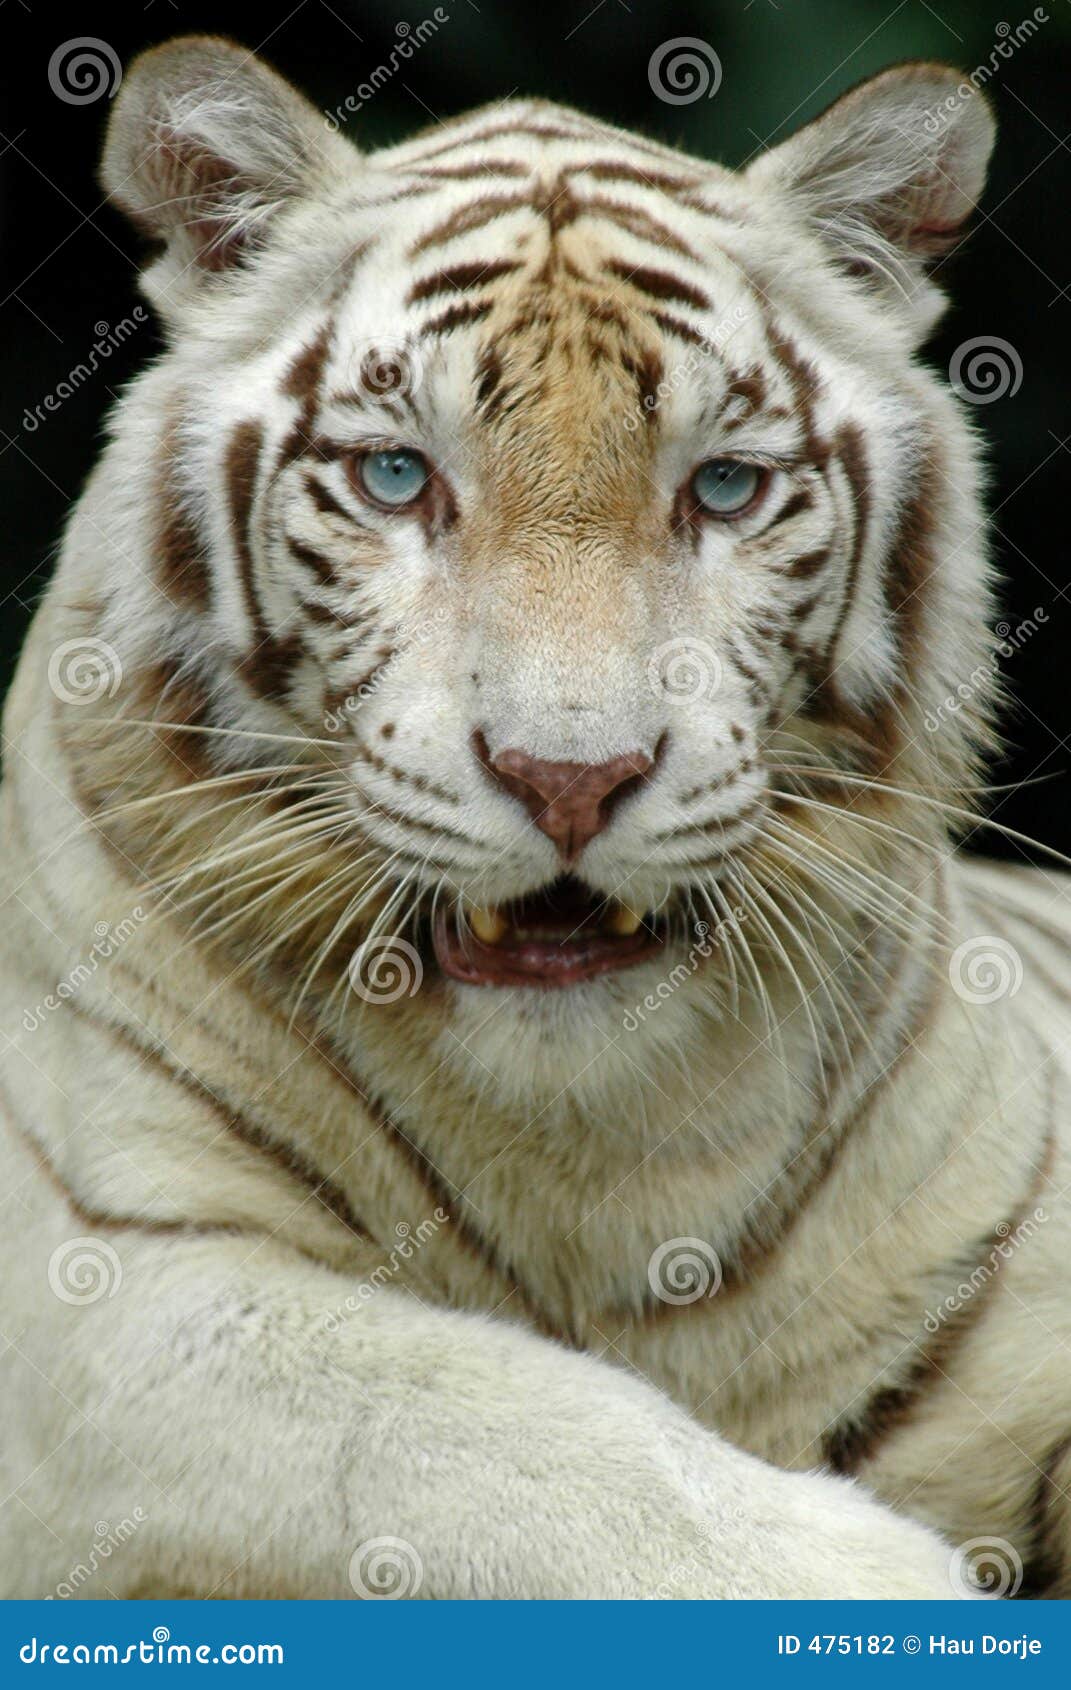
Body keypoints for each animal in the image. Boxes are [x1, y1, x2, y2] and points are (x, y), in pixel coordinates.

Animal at [0, 33, 1067, 1601]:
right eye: (395, 476)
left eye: (724, 488)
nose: (571, 775)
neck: (597, 1149)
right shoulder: (104, 1289)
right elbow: (471, 1424)